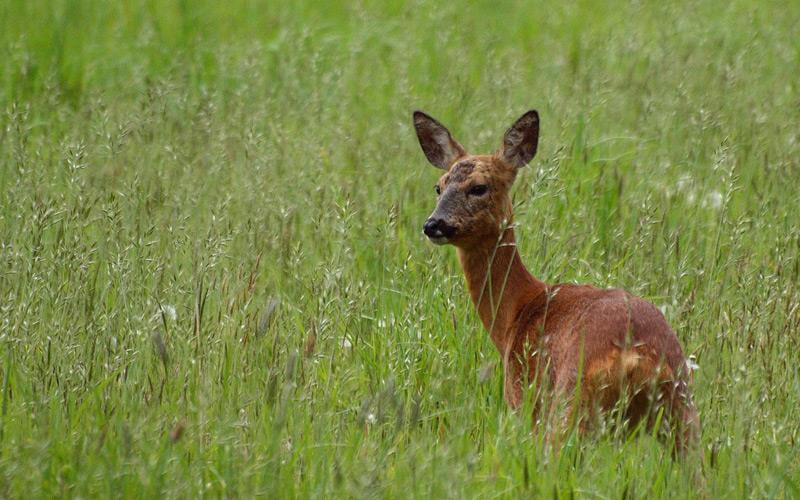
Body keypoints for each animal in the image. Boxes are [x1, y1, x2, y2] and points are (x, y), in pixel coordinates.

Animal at [413, 109, 700, 453]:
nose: (433, 224)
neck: (517, 312)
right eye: (438, 187)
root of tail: (636, 357)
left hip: (570, 405)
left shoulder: (523, 397)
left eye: (479, 187)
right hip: (682, 411)